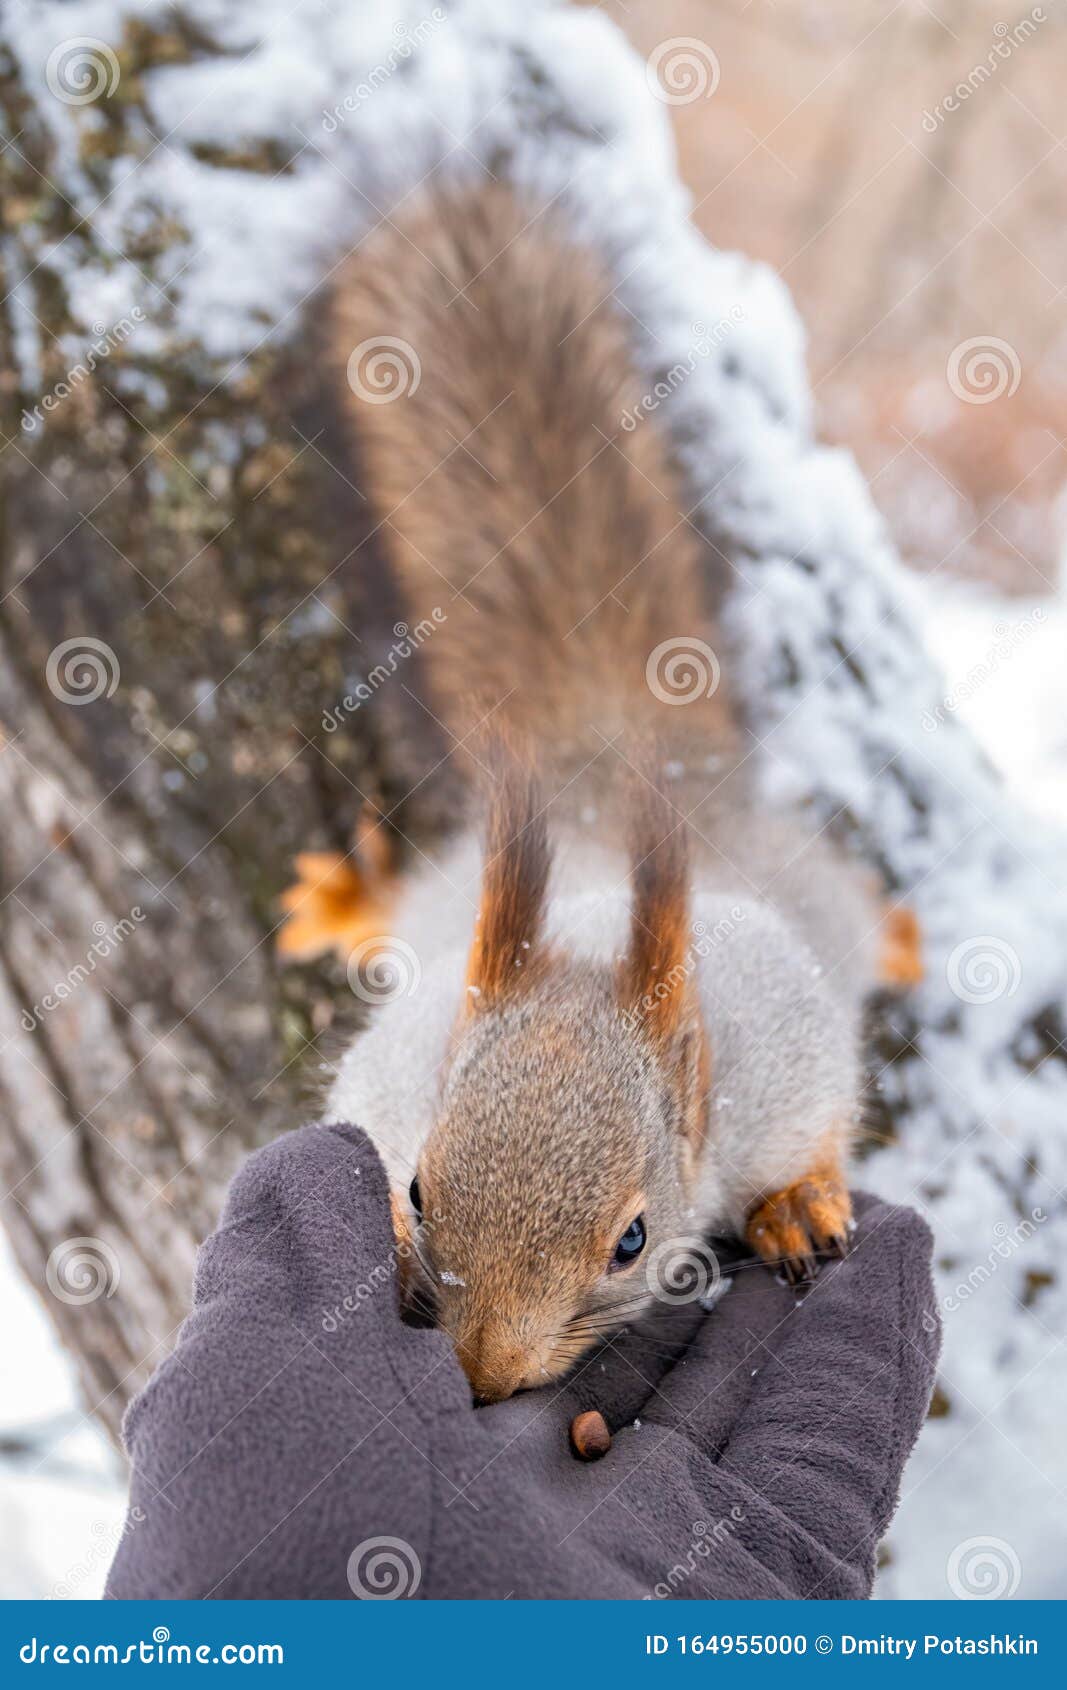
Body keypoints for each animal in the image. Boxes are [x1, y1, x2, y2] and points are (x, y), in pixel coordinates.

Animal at [314, 184, 923, 1404]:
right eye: (415, 1193)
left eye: (632, 1240)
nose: (483, 1377)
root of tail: (602, 784)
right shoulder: (387, 1083)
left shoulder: (782, 1052)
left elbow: (819, 1114)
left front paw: (794, 1201)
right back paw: (343, 901)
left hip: (803, 889)